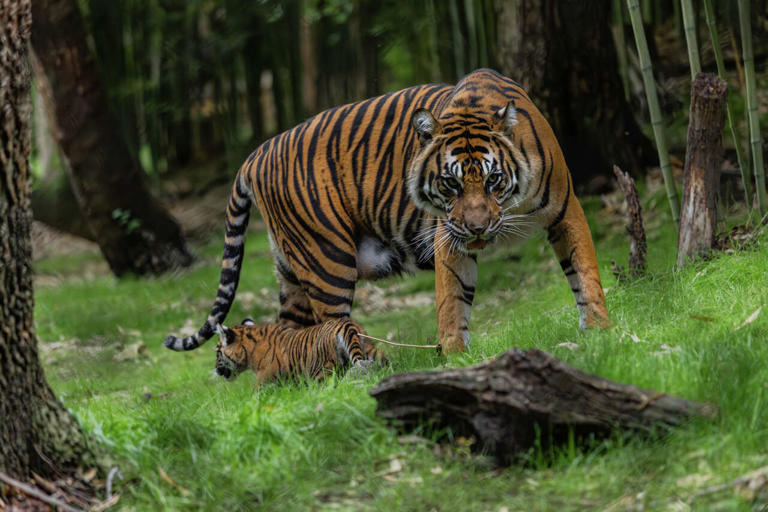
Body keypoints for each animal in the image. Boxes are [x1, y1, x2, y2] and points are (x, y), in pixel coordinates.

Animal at [164, 68, 609, 355]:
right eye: (450, 184)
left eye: (493, 179)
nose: (478, 228)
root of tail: (254, 155)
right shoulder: (449, 235)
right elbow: (452, 301)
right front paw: (455, 357)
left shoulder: (565, 210)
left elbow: (585, 273)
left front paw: (600, 331)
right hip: (327, 261)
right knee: (331, 326)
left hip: (292, 272)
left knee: (287, 331)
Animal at [214, 318, 384, 382]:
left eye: (217, 352)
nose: (215, 369)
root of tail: (346, 323)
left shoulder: (265, 381)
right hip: (373, 352)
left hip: (320, 372)